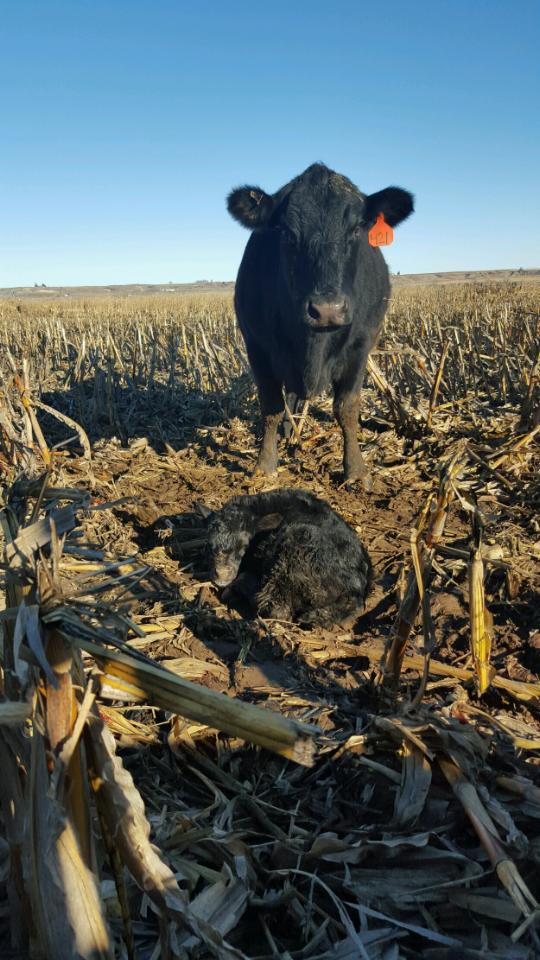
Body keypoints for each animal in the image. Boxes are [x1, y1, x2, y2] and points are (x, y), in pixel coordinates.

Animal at [227, 163, 414, 489]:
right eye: (287, 233)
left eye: (356, 229)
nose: (327, 310)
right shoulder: (256, 345)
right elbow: (271, 406)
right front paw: (265, 465)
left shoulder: (360, 346)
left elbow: (347, 408)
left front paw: (356, 471)